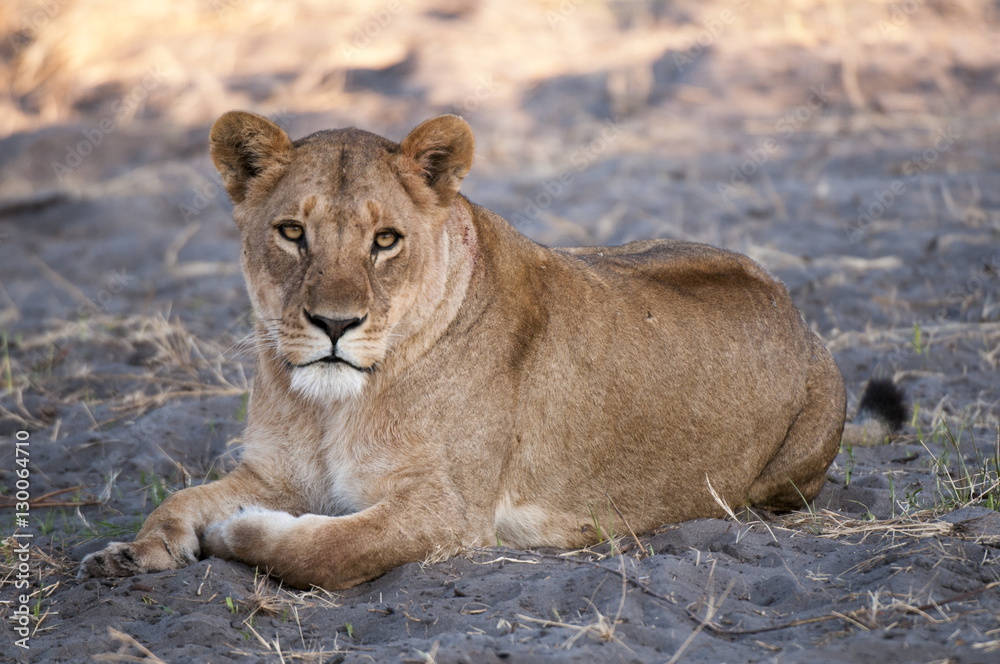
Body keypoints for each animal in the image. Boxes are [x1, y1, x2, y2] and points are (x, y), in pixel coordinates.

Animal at [81, 112, 869, 590]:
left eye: (385, 240)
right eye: (292, 233)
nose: (334, 324)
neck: (335, 406)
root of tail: (797, 313)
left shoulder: (450, 511)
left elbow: (325, 550)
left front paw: (239, 532)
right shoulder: (276, 472)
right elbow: (180, 497)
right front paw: (133, 550)